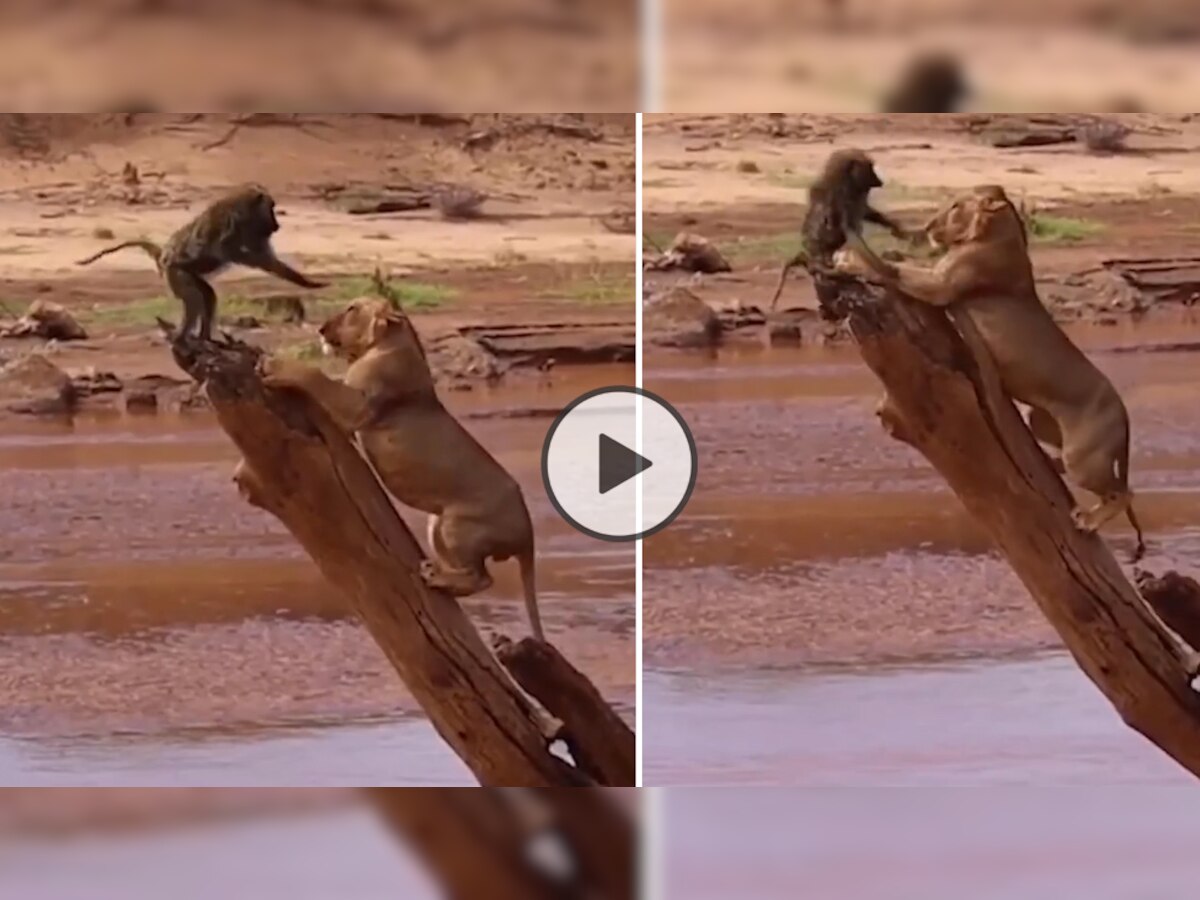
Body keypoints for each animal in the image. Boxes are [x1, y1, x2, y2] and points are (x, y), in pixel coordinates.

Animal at [76, 184, 325, 344]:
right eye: (271, 208)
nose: (277, 224)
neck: (245, 211)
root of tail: (163, 255)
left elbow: (270, 262)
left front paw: (307, 282)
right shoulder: (230, 224)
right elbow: (227, 250)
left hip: (185, 272)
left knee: (207, 294)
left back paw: (204, 337)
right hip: (175, 271)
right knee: (194, 296)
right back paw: (182, 336)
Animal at [257, 297, 545, 641]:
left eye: (352, 309)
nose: (321, 328)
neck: (387, 342)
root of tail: (528, 531)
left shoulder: (358, 405)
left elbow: (316, 376)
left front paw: (273, 365)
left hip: (457, 525)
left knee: (482, 577)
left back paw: (436, 578)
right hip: (437, 525)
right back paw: (436, 572)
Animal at [769, 148, 910, 312]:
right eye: (870, 168)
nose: (880, 181)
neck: (847, 181)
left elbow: (864, 214)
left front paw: (896, 228)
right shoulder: (841, 199)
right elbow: (851, 231)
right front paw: (884, 269)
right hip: (819, 252)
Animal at [835, 184, 1145, 562]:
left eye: (955, 206)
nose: (928, 226)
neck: (996, 233)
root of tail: (1123, 411)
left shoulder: (939, 284)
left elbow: (892, 268)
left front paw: (847, 260)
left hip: (1084, 456)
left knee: (1123, 492)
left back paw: (1087, 520)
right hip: (1041, 422)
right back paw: (1051, 464)